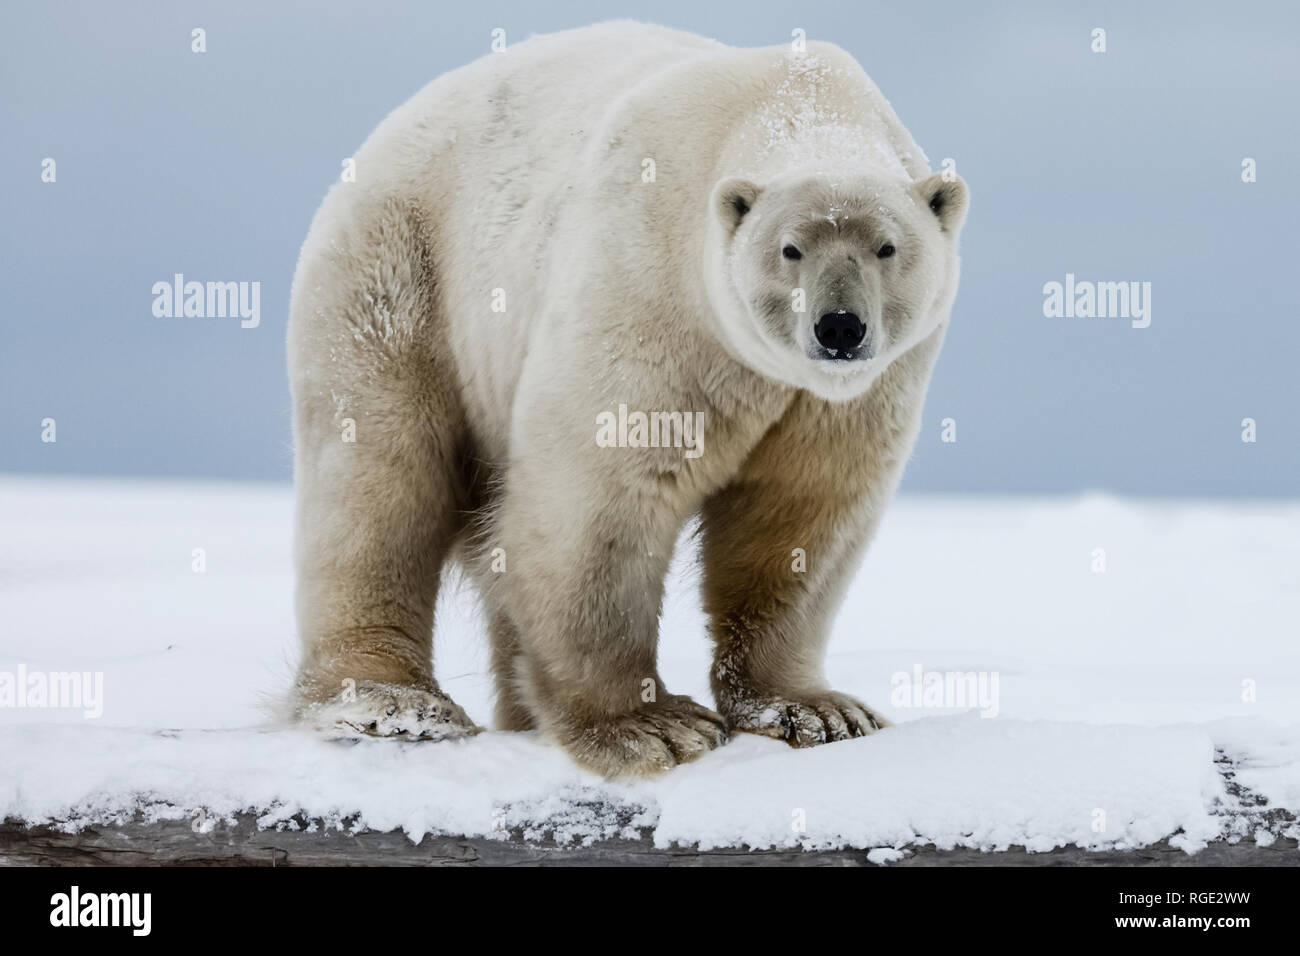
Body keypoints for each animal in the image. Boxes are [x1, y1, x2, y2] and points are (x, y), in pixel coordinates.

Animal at [286, 21, 968, 777]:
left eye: (888, 247)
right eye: (790, 249)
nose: (840, 327)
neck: (795, 100)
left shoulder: (850, 393)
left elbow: (800, 513)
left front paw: (818, 710)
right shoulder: (652, 289)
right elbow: (599, 499)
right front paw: (651, 727)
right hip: (402, 274)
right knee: (379, 481)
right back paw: (393, 705)